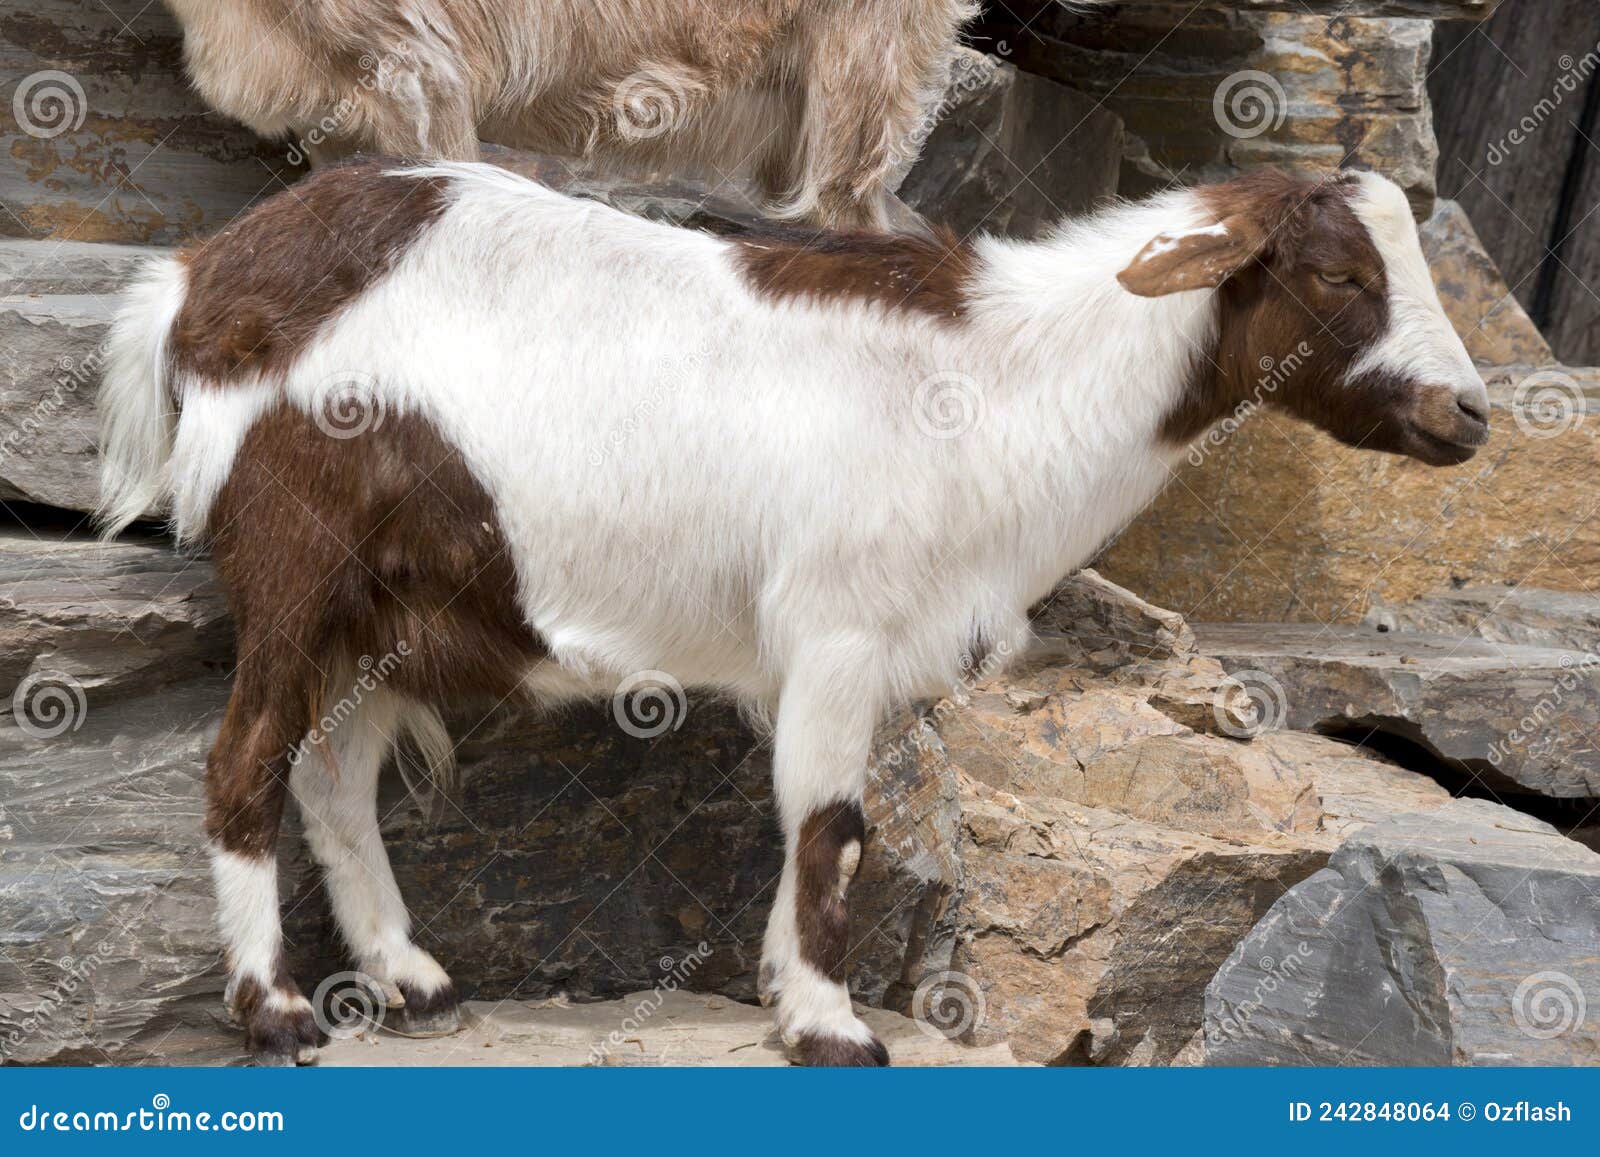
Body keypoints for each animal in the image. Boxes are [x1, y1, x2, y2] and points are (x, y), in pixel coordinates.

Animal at [97, 159, 1490, 1065]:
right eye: (1337, 272)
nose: (1468, 415)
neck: (1000, 383)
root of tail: (199, 280)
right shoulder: (837, 627)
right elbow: (833, 824)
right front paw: (830, 1026)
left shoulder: (823, 661)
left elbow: (816, 823)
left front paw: (780, 987)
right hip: (295, 562)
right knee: (244, 760)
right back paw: (273, 1008)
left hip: (392, 613)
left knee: (331, 778)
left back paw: (409, 977)